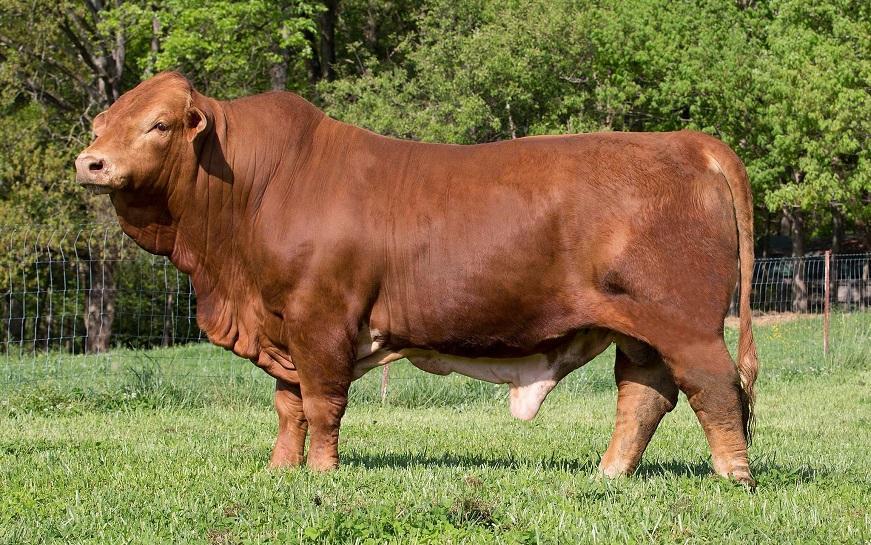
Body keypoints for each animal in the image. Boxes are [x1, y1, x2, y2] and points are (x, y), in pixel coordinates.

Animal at [75, 72, 759, 486]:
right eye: (99, 124)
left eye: (159, 124)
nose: (90, 163)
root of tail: (688, 142)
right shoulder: (281, 323)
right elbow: (287, 405)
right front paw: (280, 470)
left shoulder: (320, 317)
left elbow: (321, 403)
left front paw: (321, 475)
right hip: (638, 328)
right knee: (645, 393)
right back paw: (609, 473)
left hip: (685, 321)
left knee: (714, 386)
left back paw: (733, 476)